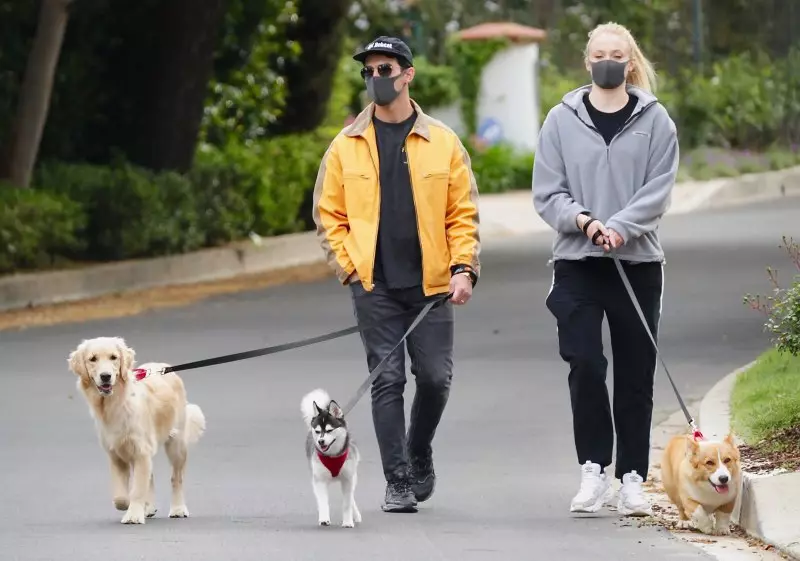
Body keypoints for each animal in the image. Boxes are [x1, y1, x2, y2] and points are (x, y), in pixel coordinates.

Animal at [302, 388, 360, 528]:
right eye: (317, 431)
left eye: (329, 430)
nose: (321, 441)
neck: (333, 455)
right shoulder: (320, 480)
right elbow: (323, 501)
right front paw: (324, 518)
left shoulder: (348, 479)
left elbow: (347, 503)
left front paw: (348, 521)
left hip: (352, 477)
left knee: (351, 497)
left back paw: (356, 515)